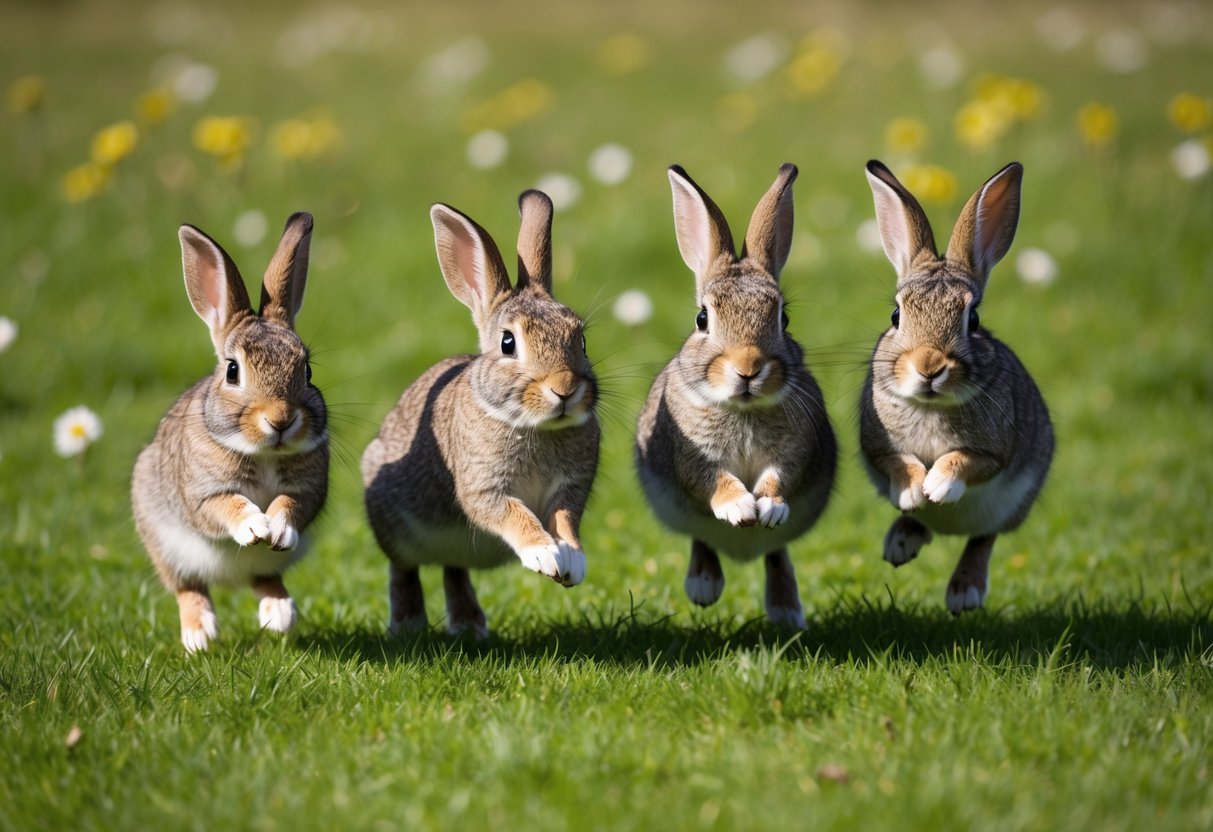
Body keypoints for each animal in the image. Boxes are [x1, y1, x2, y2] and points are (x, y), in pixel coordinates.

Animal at [132, 212, 329, 653]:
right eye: (232, 371)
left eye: (307, 370)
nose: (281, 420)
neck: (265, 451)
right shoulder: (203, 494)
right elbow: (225, 505)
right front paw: (255, 526)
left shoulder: (309, 489)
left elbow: (292, 503)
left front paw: (277, 527)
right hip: (166, 545)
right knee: (189, 588)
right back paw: (199, 636)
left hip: (266, 564)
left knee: (264, 578)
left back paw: (279, 615)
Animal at [362, 190, 599, 639]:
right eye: (508, 343)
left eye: (581, 340)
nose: (564, 389)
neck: (534, 425)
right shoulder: (484, 487)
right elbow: (513, 514)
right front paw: (545, 556)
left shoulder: (570, 487)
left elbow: (564, 519)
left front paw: (572, 563)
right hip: (392, 522)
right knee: (404, 569)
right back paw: (408, 625)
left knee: (454, 571)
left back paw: (469, 626)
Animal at [635, 163, 838, 629]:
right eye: (702, 318)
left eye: (784, 318)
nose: (748, 368)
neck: (742, 408)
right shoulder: (690, 456)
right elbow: (712, 479)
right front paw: (739, 509)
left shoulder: (796, 451)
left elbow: (781, 476)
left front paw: (768, 508)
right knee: (703, 540)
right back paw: (705, 587)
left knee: (775, 552)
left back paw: (785, 611)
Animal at [859, 159, 1054, 614]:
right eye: (896, 316)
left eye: (974, 320)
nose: (930, 366)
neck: (931, 405)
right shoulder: (877, 447)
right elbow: (897, 461)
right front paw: (915, 488)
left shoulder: (996, 453)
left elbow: (964, 458)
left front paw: (937, 485)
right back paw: (901, 542)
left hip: (1010, 506)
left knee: (982, 539)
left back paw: (964, 591)